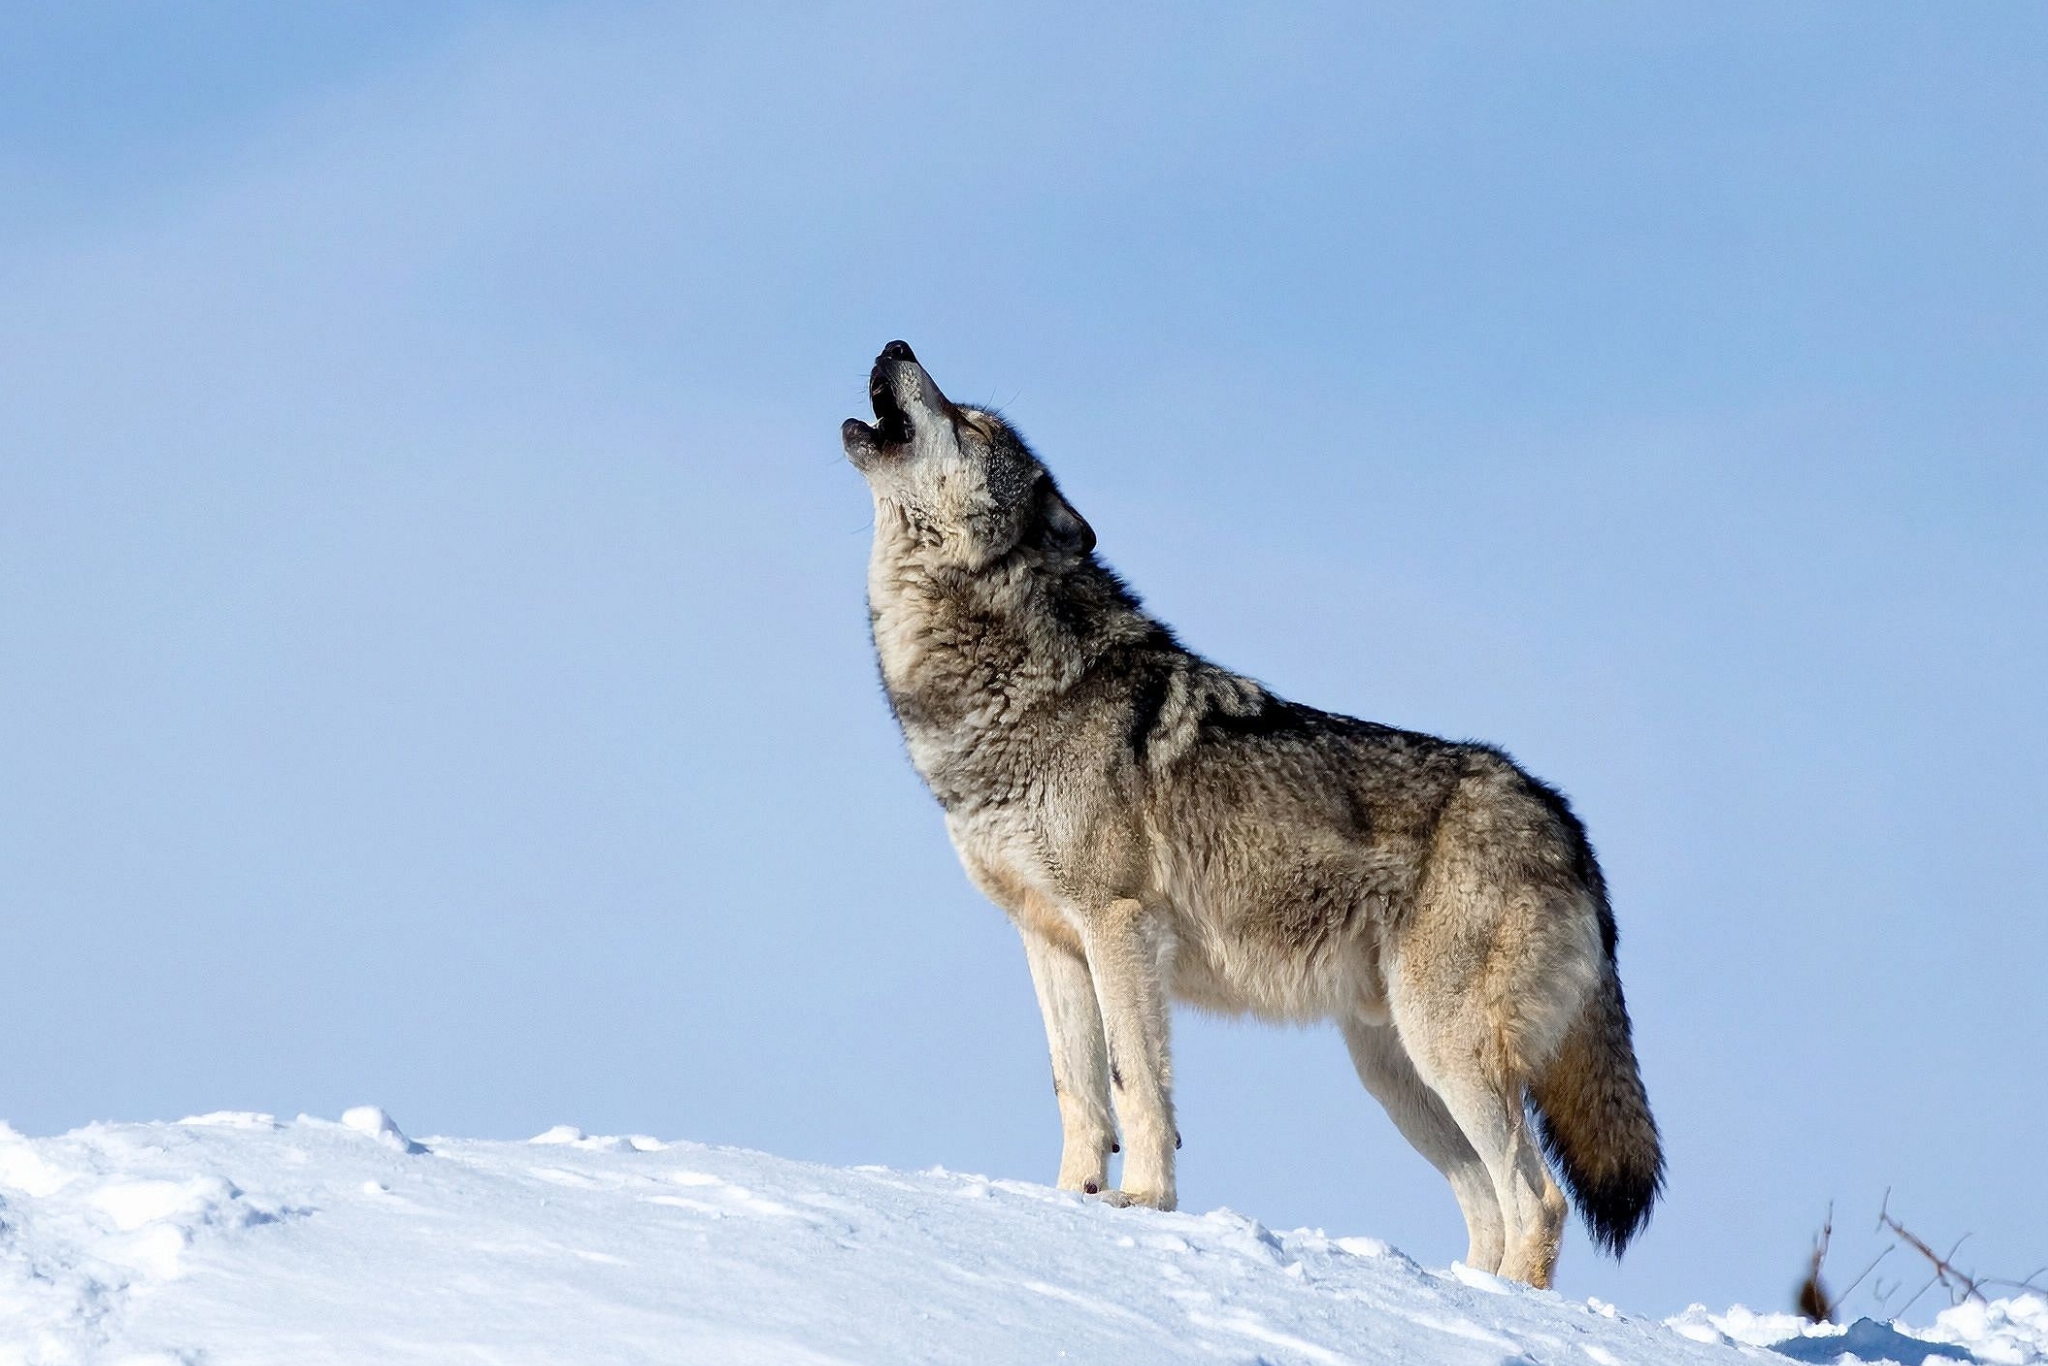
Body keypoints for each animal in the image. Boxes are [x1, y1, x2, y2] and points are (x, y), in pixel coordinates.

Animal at [841, 340, 1662, 1287]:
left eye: (971, 423)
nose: (896, 346)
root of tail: (1569, 825)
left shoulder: (1119, 925)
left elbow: (1135, 1083)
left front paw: (1143, 1203)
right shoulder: (1049, 939)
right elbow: (1078, 1093)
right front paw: (1067, 1201)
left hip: (1447, 1049)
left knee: (1541, 1200)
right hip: (1395, 1072)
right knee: (1490, 1205)